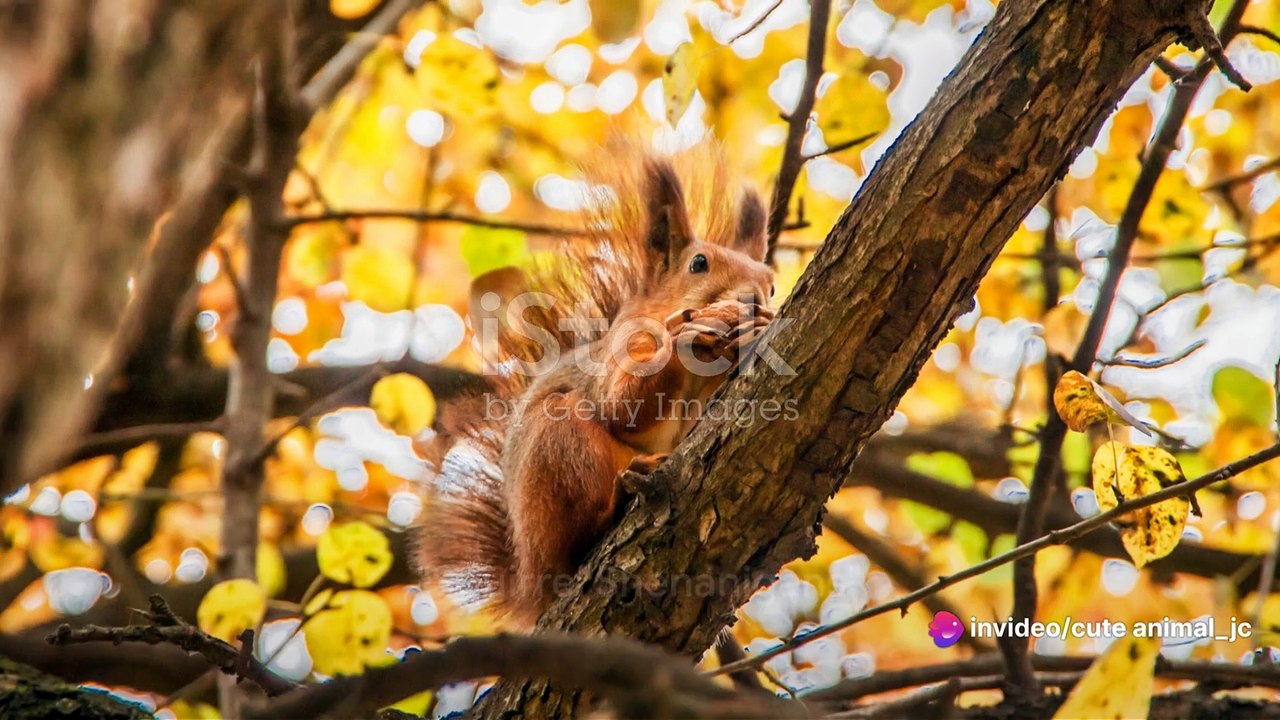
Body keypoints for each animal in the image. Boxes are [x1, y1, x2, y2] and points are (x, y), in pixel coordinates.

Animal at [413, 140, 775, 629]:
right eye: (699, 263)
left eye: (771, 283)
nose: (754, 299)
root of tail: (530, 581)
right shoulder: (615, 359)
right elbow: (620, 405)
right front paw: (687, 334)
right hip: (558, 446)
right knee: (573, 541)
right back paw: (614, 506)